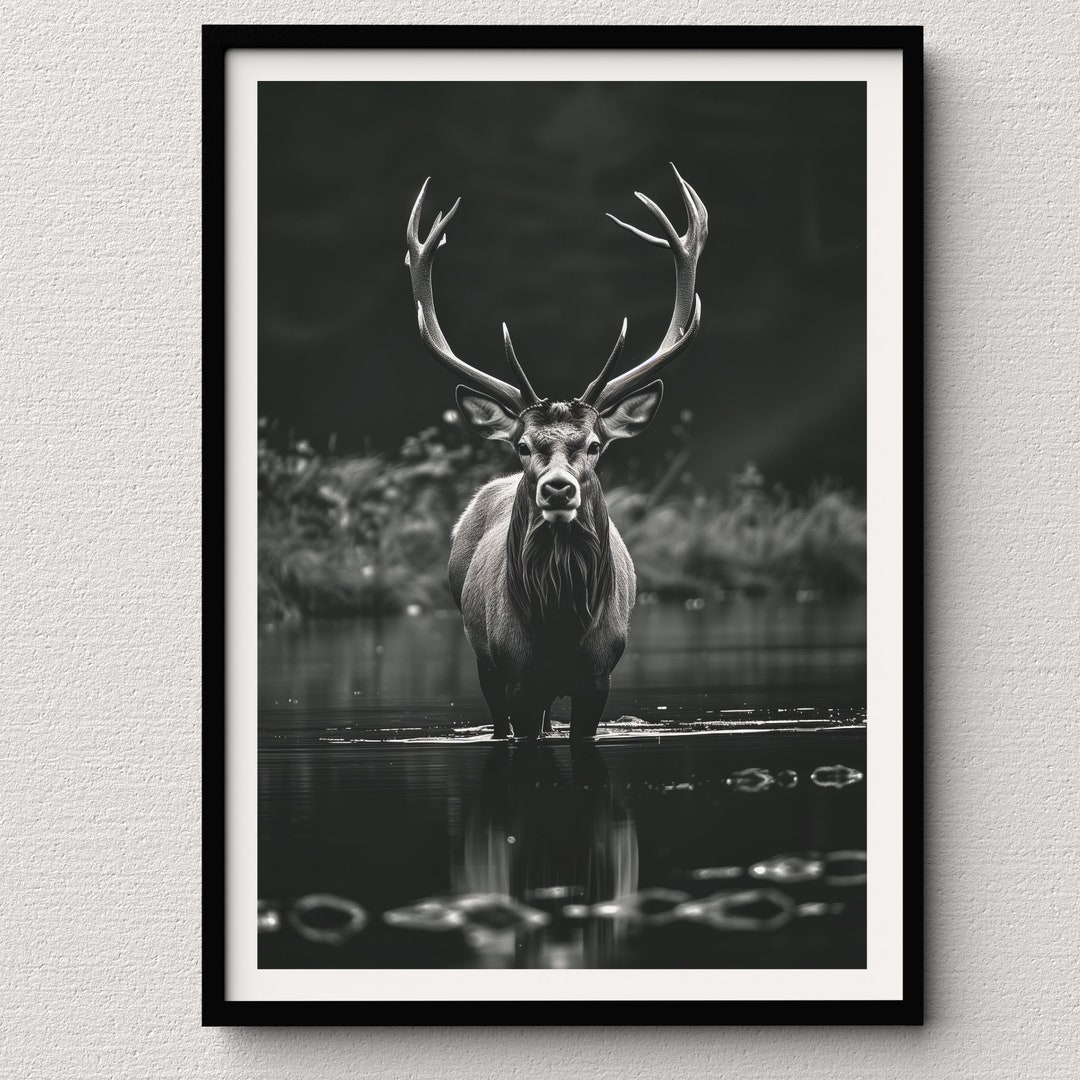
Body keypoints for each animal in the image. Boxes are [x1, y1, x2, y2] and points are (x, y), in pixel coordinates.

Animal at [404, 163, 708, 740]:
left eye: (594, 445)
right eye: (522, 445)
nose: (558, 488)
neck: (561, 626)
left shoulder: (599, 679)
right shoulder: (515, 677)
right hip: (482, 657)